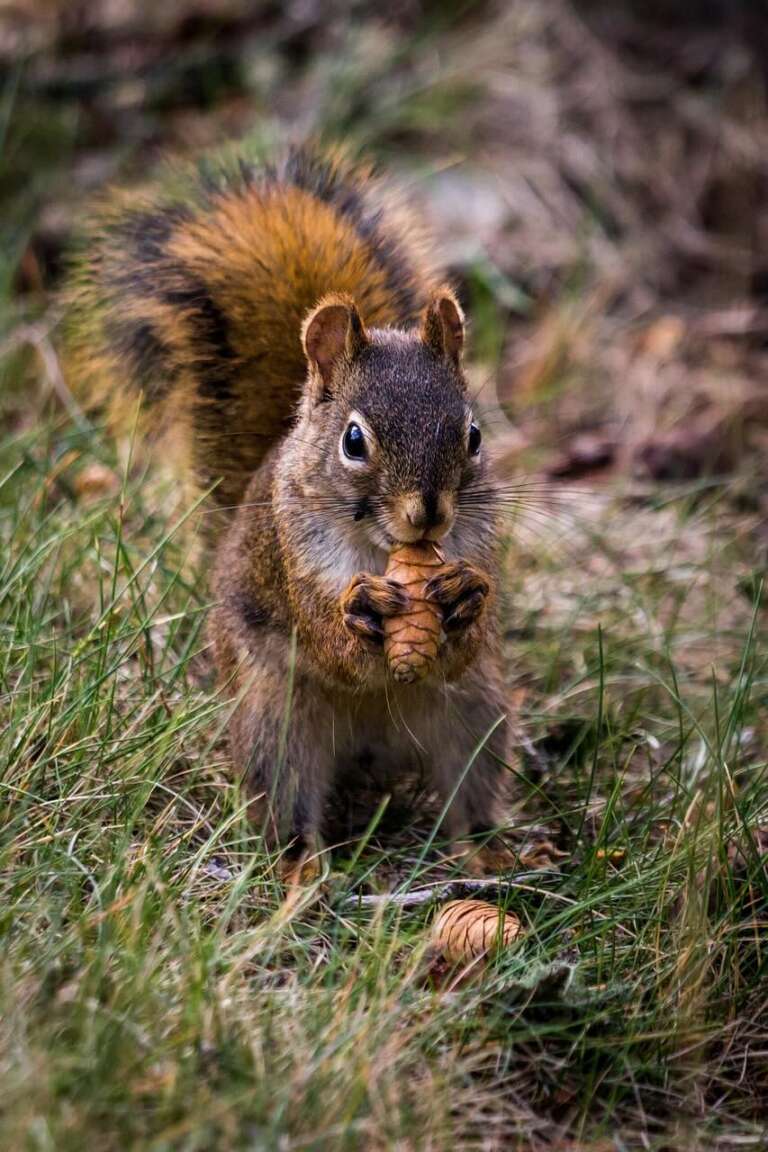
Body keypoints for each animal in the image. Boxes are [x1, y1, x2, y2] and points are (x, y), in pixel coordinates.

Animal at [64, 142, 513, 882]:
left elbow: (467, 638)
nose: (427, 515)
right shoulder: (290, 559)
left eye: (474, 435)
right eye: (354, 442)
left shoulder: (477, 551)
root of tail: (372, 747)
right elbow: (324, 634)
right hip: (276, 721)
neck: (380, 550)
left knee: (467, 785)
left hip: (474, 713)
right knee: (286, 798)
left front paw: (465, 595)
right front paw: (361, 613)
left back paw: (487, 848)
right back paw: (300, 866)